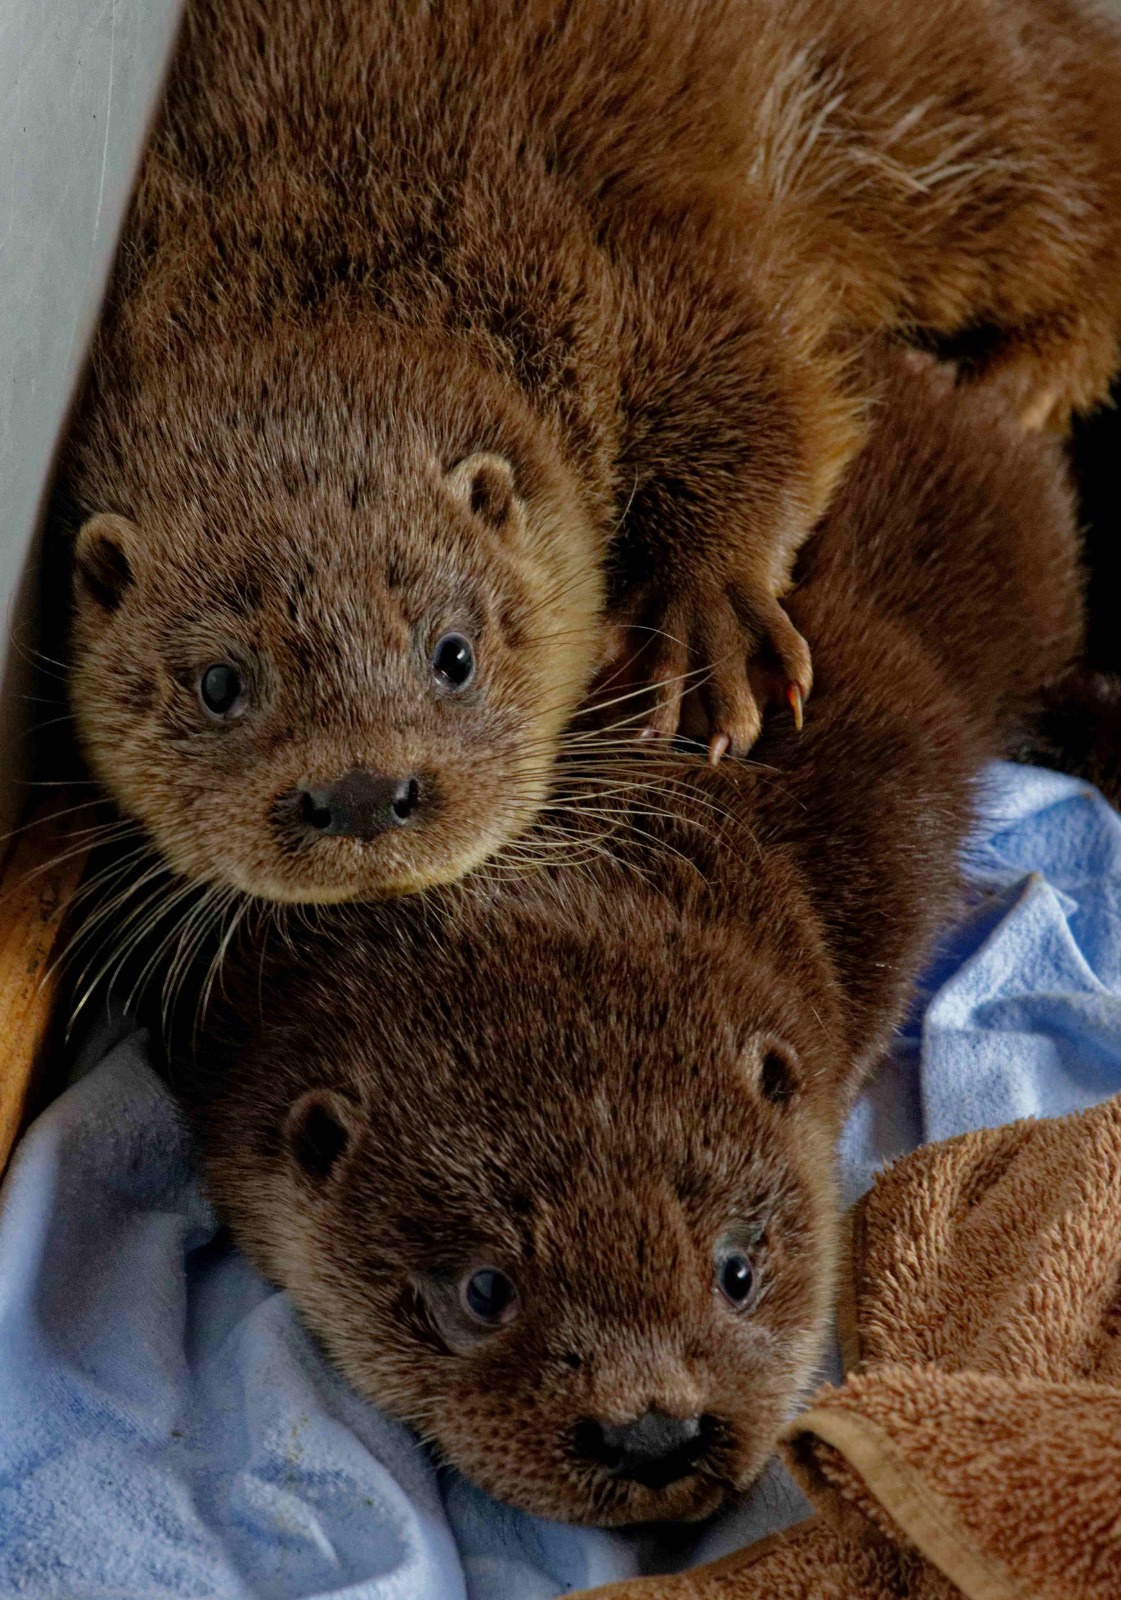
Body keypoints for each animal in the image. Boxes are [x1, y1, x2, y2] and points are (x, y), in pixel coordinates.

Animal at [64, 0, 1121, 906]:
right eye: (218, 684)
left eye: (453, 654)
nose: (361, 794)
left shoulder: (644, 257)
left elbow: (766, 382)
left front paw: (708, 620)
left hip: (960, 111)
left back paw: (1013, 382)